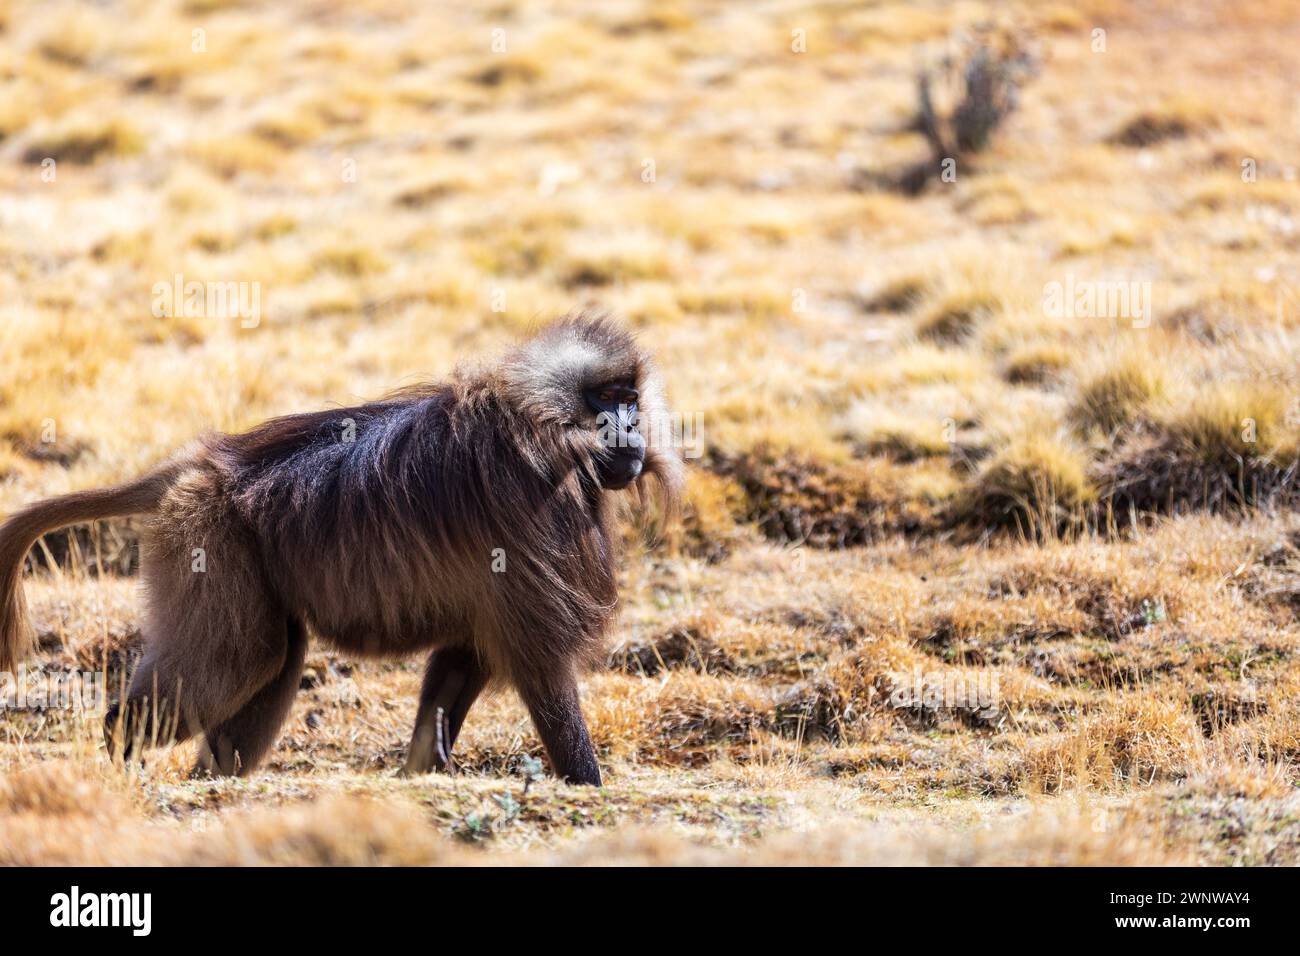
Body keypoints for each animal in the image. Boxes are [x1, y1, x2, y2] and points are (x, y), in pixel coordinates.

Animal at [0, 312, 682, 785]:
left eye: (630, 399)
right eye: (606, 400)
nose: (630, 430)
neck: (545, 423)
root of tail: (199, 465)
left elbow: (456, 670)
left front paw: (420, 770)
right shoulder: (534, 520)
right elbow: (542, 667)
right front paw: (587, 785)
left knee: (272, 661)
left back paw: (213, 782)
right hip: (208, 541)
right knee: (239, 660)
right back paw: (126, 762)